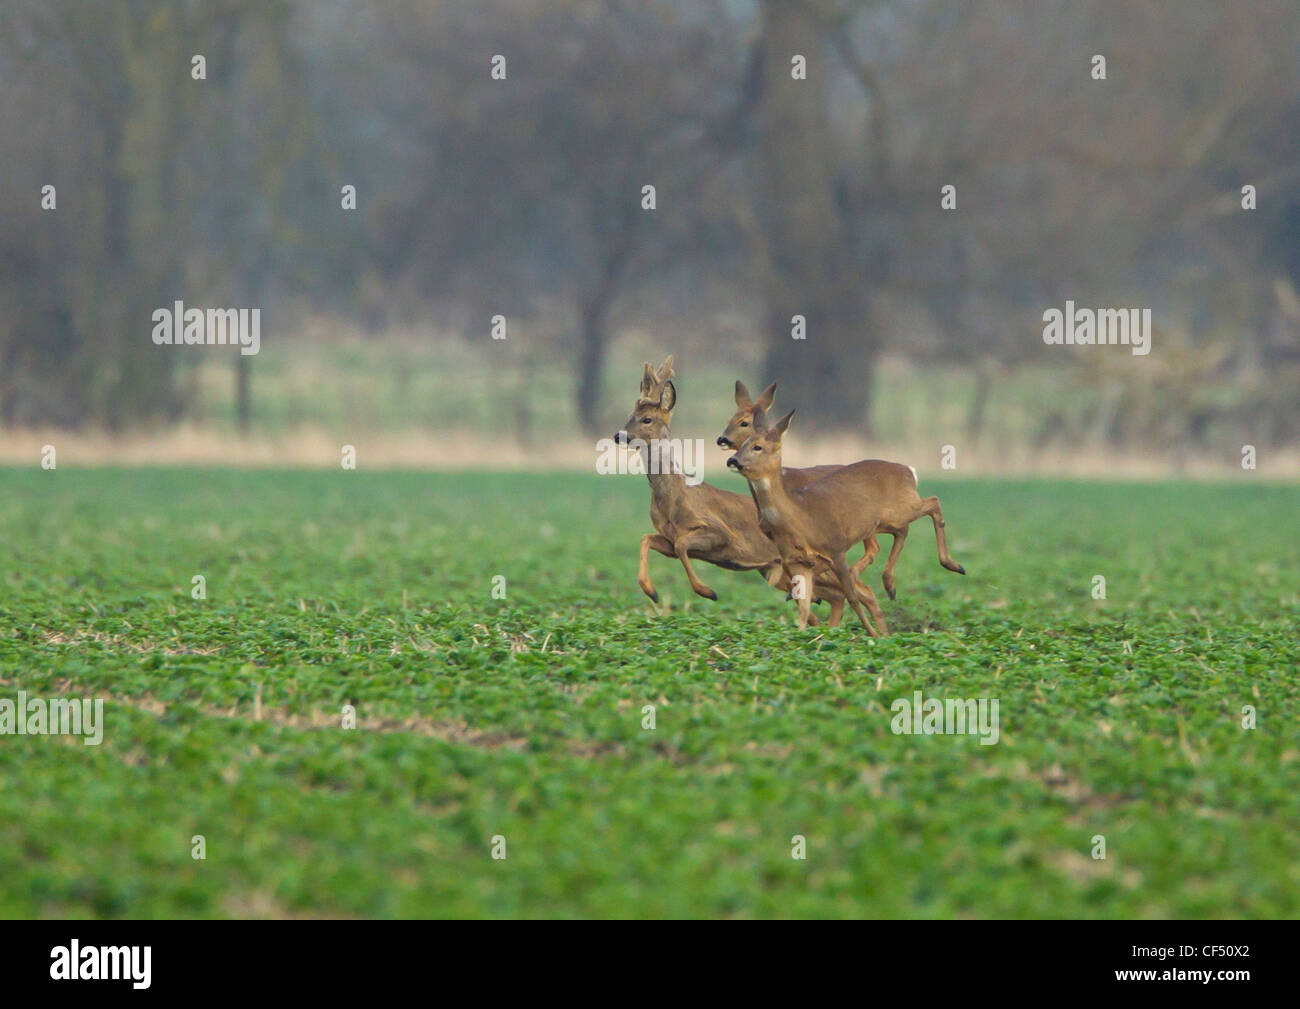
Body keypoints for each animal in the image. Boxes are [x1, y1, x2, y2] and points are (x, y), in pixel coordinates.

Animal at [615, 356, 851, 626]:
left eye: (647, 419)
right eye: (630, 415)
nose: (618, 435)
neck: (673, 496)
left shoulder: (719, 532)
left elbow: (682, 545)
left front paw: (708, 592)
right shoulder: (667, 537)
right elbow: (647, 539)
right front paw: (651, 591)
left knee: (845, 590)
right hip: (776, 569)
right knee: (833, 595)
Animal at [726, 407, 966, 635]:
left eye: (757, 447)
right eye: (742, 444)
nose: (732, 460)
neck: (799, 517)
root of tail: (909, 471)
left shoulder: (836, 548)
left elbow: (851, 597)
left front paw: (874, 635)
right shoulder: (797, 562)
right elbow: (803, 606)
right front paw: (801, 637)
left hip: (902, 508)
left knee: (933, 502)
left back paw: (953, 565)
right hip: (883, 521)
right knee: (903, 530)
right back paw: (889, 585)